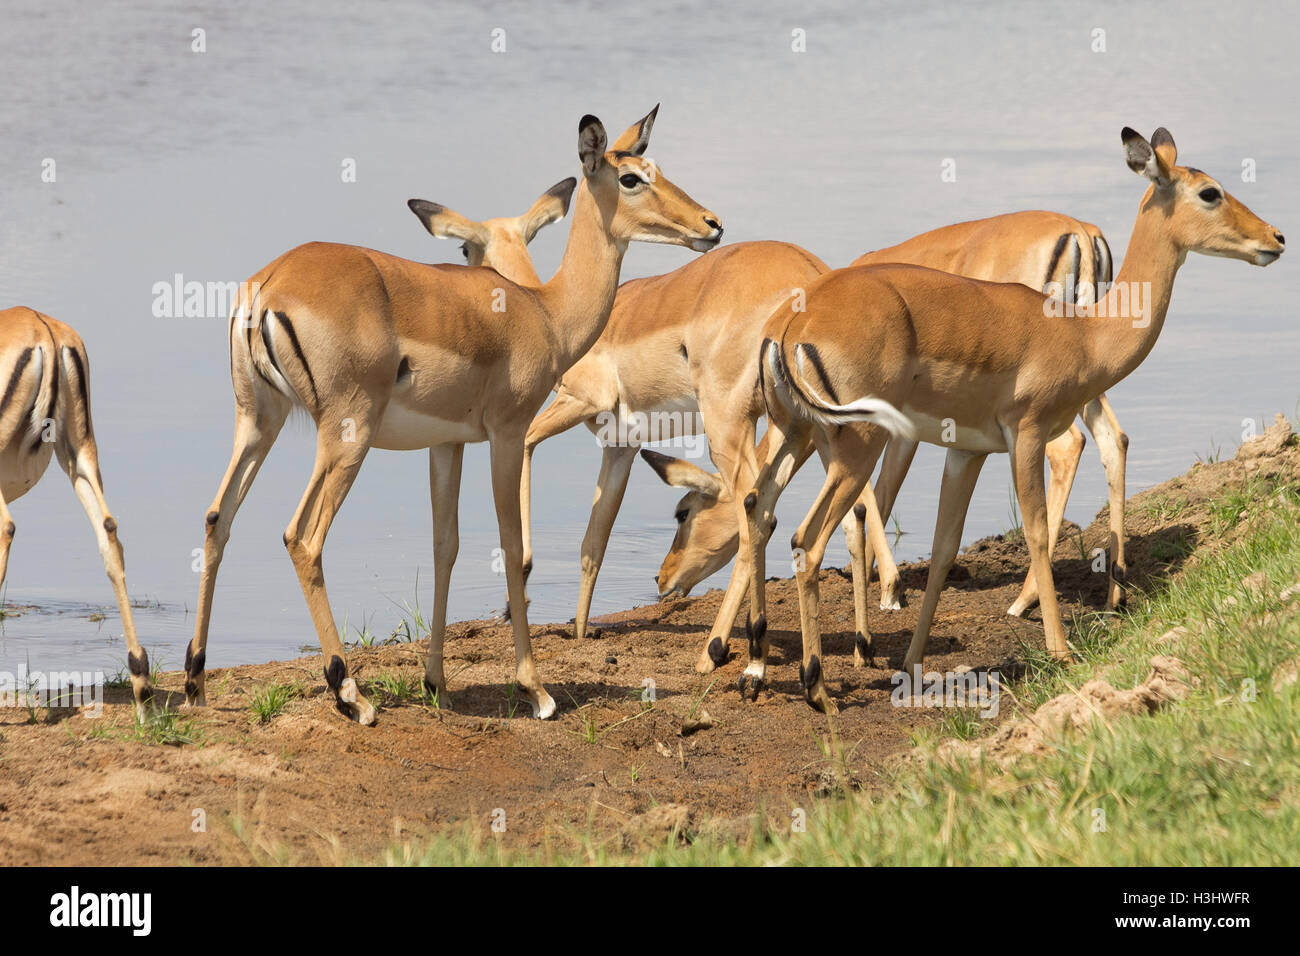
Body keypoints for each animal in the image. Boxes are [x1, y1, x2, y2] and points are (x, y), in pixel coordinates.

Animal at [184, 108, 722, 724]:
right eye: (631, 177)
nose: (711, 225)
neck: (545, 311)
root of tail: (269, 284)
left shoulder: (448, 444)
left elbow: (447, 545)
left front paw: (435, 683)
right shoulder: (507, 434)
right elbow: (511, 547)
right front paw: (536, 691)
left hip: (258, 422)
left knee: (218, 517)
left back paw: (195, 683)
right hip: (345, 435)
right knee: (302, 536)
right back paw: (353, 697)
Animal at [738, 127, 1283, 713]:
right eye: (1210, 192)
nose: (1275, 238)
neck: (1085, 334)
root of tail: (791, 323)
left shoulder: (967, 451)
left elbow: (943, 548)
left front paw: (911, 663)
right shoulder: (1027, 434)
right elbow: (1038, 532)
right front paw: (1061, 650)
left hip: (797, 435)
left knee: (758, 509)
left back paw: (755, 668)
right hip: (856, 444)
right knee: (807, 539)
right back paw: (817, 687)